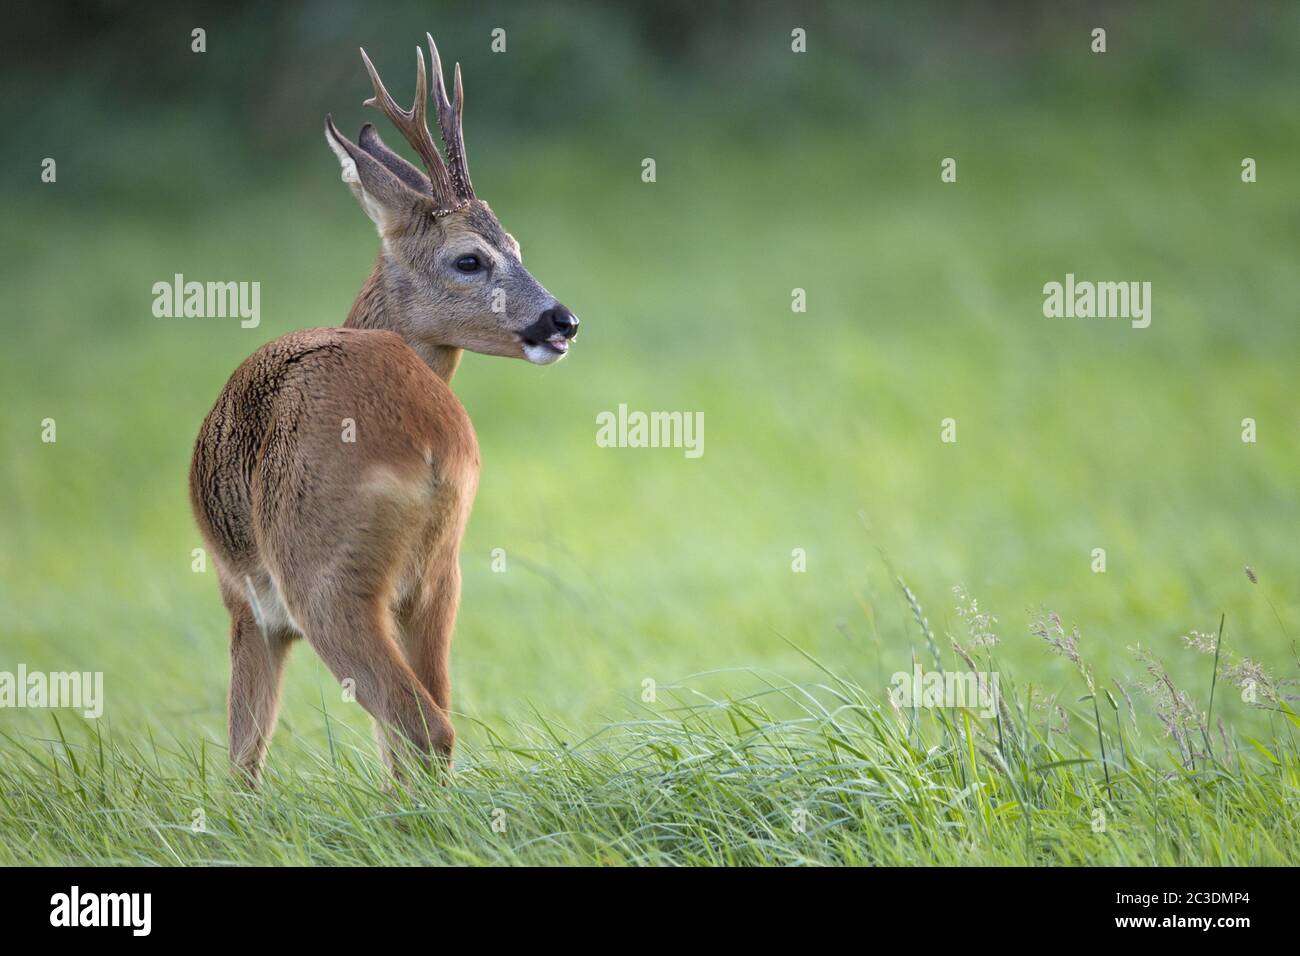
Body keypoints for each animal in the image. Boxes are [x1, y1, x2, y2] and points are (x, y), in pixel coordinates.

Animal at [189, 35, 579, 785]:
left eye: (513, 248)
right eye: (473, 257)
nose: (562, 321)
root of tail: (427, 440)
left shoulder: (243, 600)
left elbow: (244, 750)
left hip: (321, 577)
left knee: (421, 727)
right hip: (439, 574)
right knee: (421, 730)